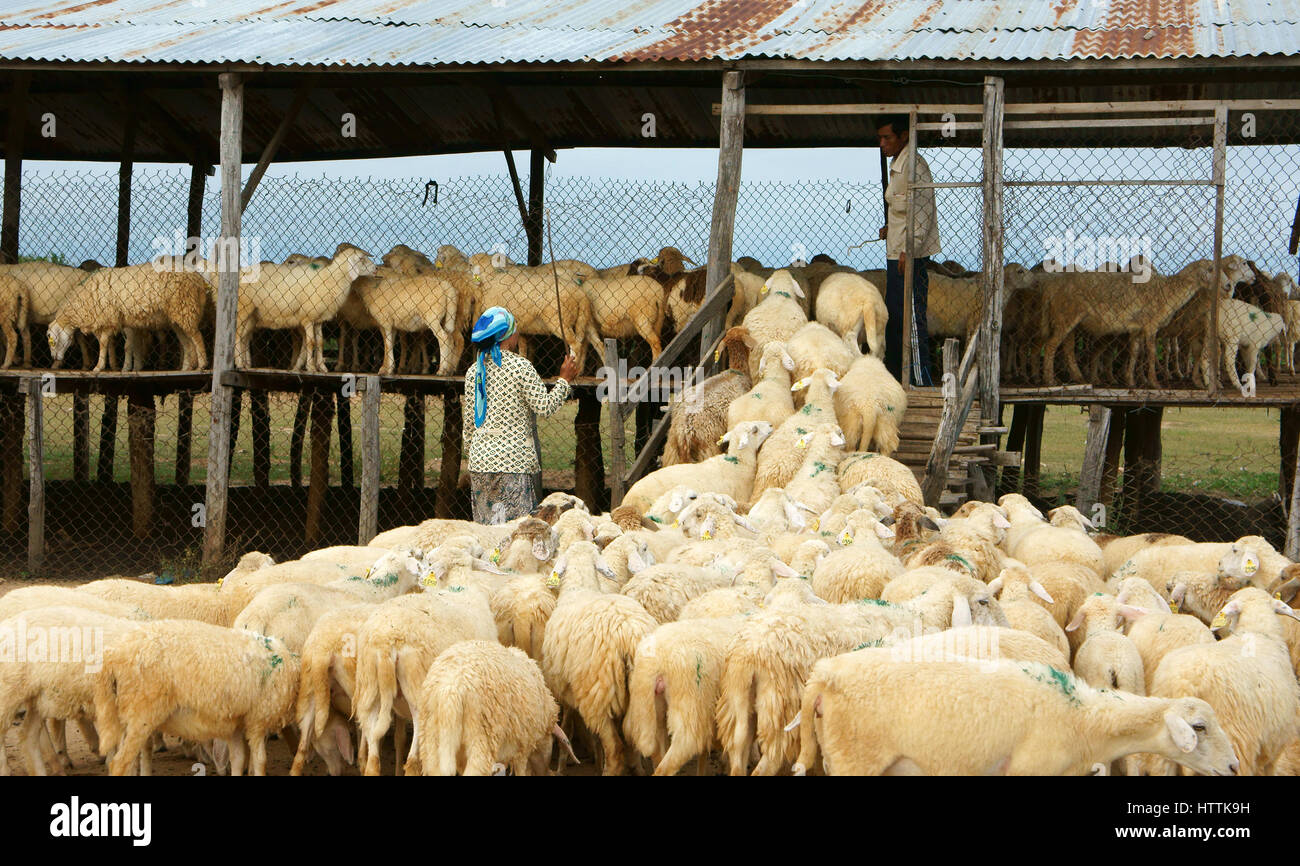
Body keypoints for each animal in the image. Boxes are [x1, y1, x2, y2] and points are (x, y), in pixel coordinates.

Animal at [47, 264, 209, 372]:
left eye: (51, 341)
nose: (54, 358)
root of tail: (199, 279)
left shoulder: (106, 319)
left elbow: (104, 343)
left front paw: (99, 367)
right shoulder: (121, 322)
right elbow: (126, 345)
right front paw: (130, 366)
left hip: (185, 306)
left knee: (196, 336)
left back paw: (201, 365)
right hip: (178, 316)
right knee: (187, 341)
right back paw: (187, 367)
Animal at [93, 620, 300, 776]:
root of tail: (112, 655)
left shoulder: (235, 724)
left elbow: (238, 759)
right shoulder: (258, 720)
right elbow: (260, 762)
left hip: (126, 717)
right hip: (141, 714)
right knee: (119, 763)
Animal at [415, 640, 571, 776]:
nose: (547, 772)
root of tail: (451, 688)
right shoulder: (524, 746)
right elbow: (522, 770)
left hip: (430, 738)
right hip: (482, 739)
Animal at [540, 542, 659, 775]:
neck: (580, 588)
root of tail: (627, 632)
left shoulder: (565, 692)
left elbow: (567, 727)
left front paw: (562, 765)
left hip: (598, 697)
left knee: (615, 750)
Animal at [792, 653, 1237, 776]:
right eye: (1199, 727)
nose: (1235, 767)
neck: (1086, 721)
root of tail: (825, 674)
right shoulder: (1029, 770)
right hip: (854, 760)